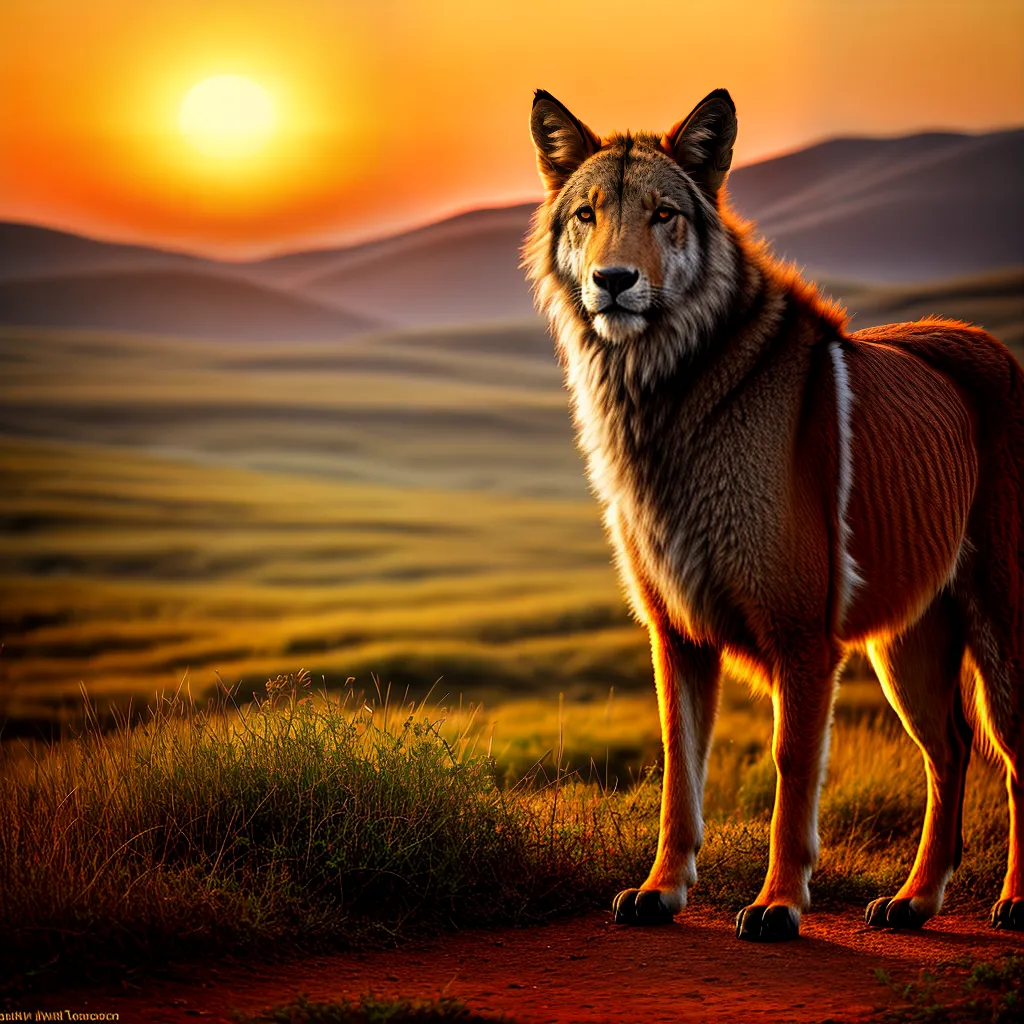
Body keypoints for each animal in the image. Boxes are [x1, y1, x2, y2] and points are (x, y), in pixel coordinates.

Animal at [523, 87, 1024, 941]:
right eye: (588, 214)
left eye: (663, 214)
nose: (613, 281)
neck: (660, 389)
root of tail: (993, 347)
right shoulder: (677, 632)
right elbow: (680, 769)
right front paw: (661, 890)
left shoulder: (802, 636)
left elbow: (793, 768)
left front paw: (778, 904)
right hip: (910, 645)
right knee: (951, 749)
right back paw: (915, 900)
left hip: (1001, 628)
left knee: (1019, 753)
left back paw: (1016, 898)